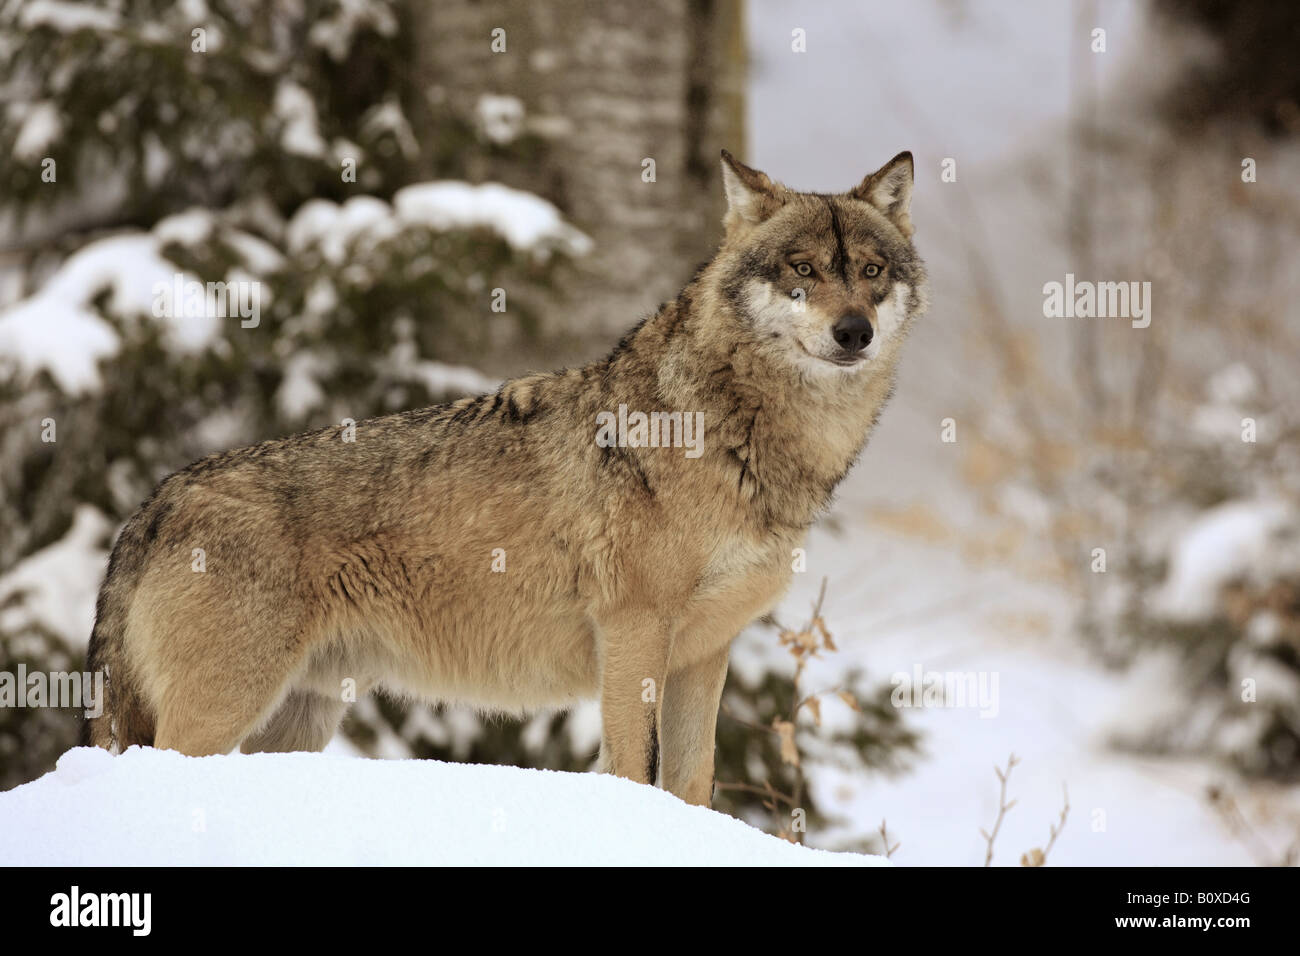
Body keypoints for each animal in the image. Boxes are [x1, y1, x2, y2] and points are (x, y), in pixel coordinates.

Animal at [82, 149, 928, 807]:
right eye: (803, 271)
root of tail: (157, 501)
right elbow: (634, 769)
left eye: (872, 272)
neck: (735, 435)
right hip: (217, 717)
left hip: (296, 723)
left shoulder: (704, 652)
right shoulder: (634, 633)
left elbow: (692, 784)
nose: (854, 331)